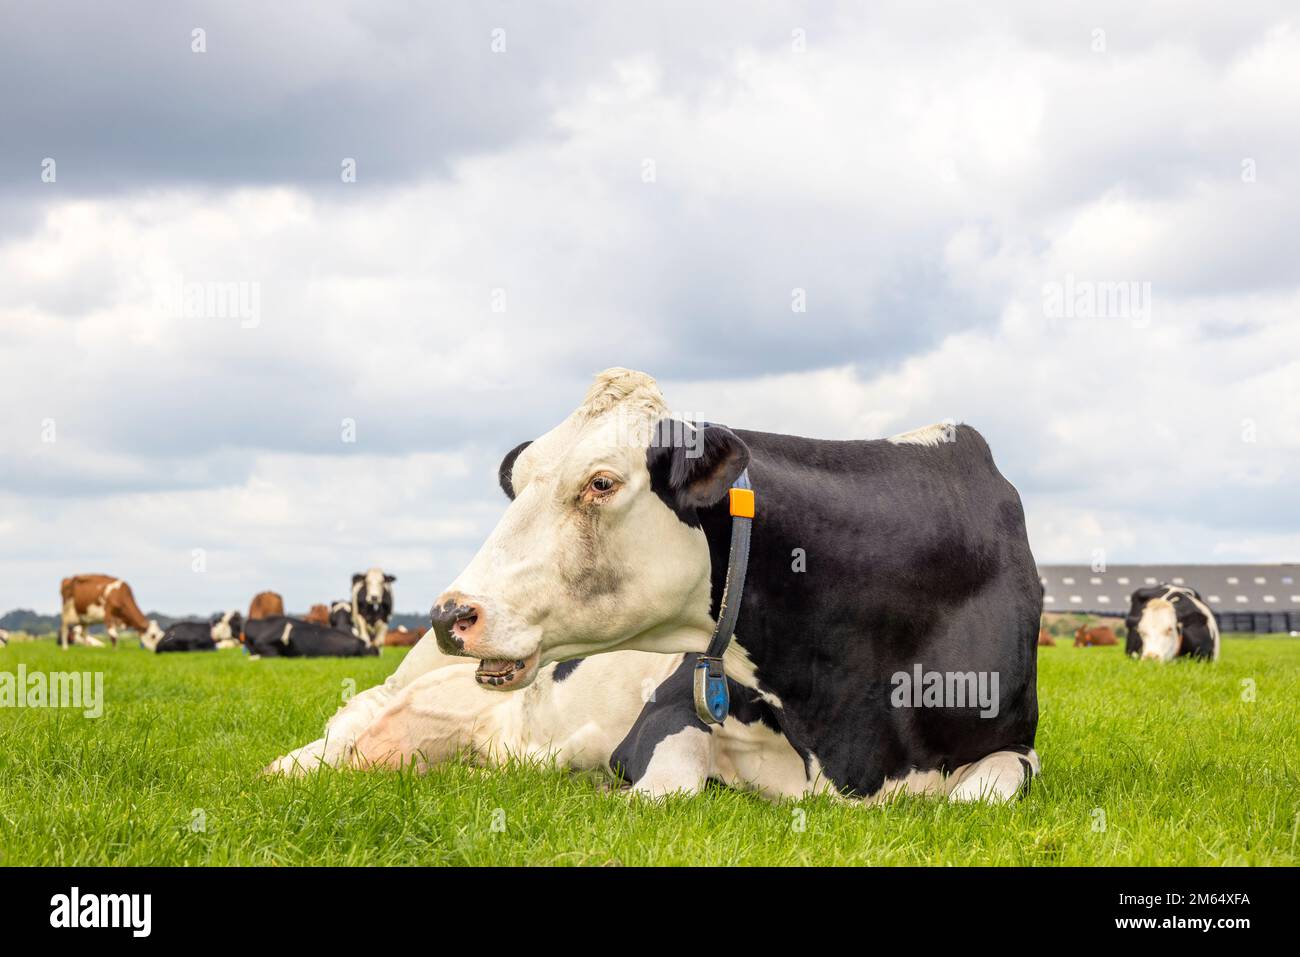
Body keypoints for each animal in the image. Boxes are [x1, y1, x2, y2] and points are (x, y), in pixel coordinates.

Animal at [275, 368, 1041, 803]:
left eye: (602, 482)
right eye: (517, 482)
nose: (450, 612)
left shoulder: (1017, 744)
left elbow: (985, 792)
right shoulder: (666, 711)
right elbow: (667, 788)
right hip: (399, 684)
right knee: (338, 736)